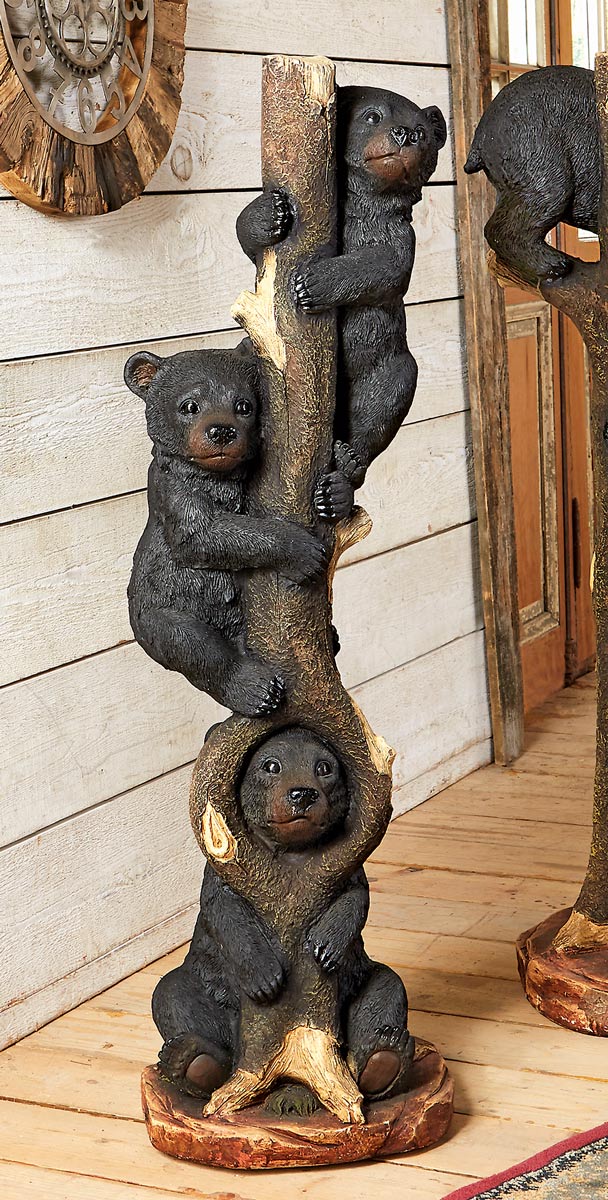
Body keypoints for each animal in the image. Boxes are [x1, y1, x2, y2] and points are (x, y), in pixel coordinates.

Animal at [124, 347, 327, 717]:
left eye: (244, 405)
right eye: (190, 405)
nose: (221, 431)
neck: (217, 478)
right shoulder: (175, 490)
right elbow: (204, 535)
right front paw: (304, 553)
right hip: (160, 609)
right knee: (193, 645)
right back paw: (256, 691)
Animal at [152, 727, 414, 1114]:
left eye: (324, 767)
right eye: (271, 765)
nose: (302, 793)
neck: (292, 854)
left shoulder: (342, 870)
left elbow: (357, 899)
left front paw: (326, 945)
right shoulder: (225, 871)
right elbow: (224, 912)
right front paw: (264, 977)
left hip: (361, 980)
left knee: (386, 989)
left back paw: (384, 1060)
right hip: (207, 987)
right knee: (173, 994)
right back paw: (194, 1062)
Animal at [236, 85, 447, 521]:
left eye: (422, 130)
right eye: (373, 116)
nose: (405, 134)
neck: (361, 207)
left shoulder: (399, 237)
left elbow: (385, 267)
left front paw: (312, 282)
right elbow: (251, 243)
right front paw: (268, 211)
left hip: (386, 363)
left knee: (386, 400)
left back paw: (341, 479)